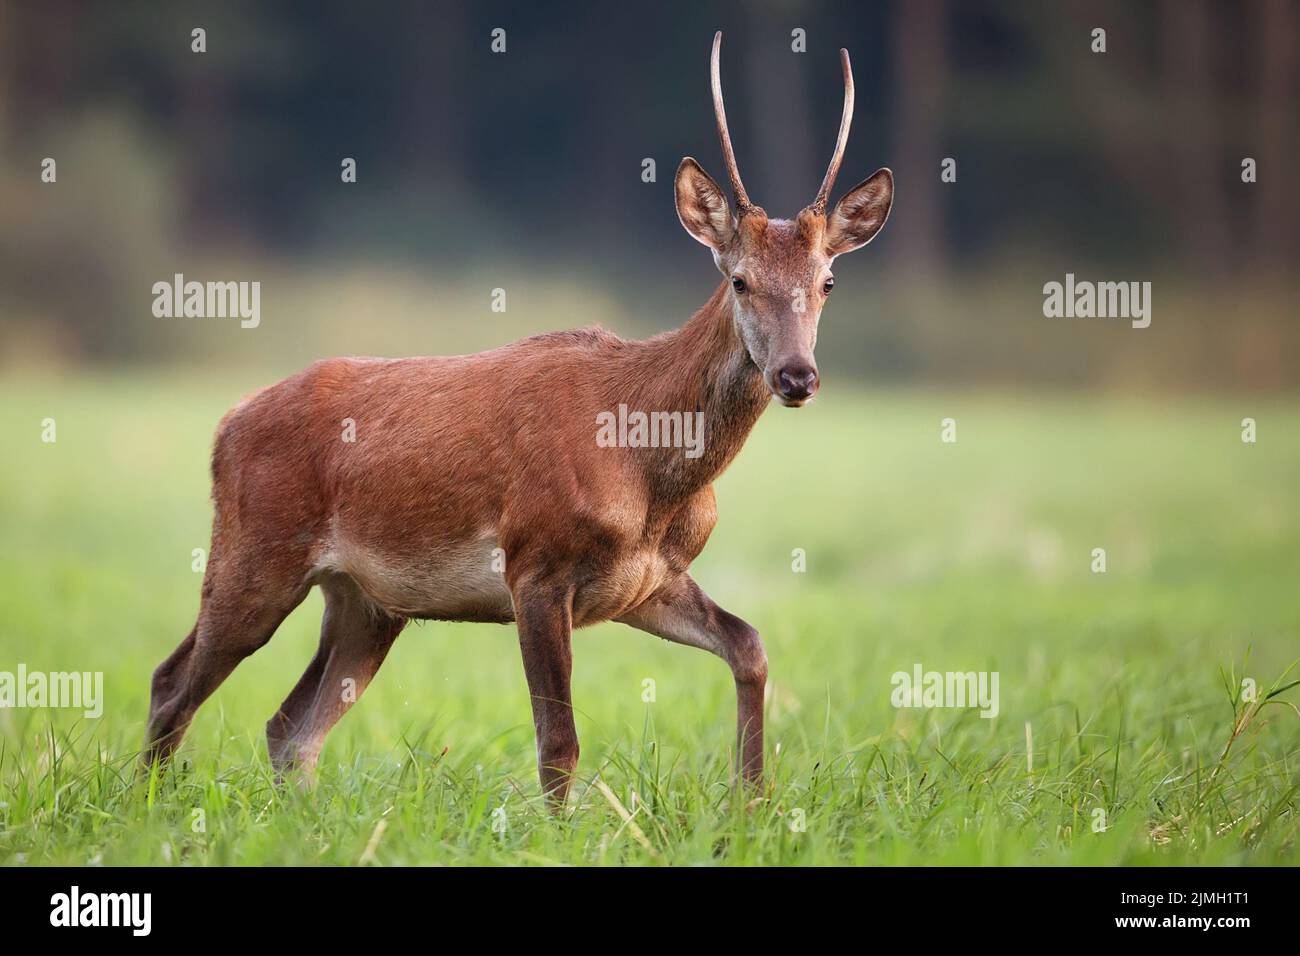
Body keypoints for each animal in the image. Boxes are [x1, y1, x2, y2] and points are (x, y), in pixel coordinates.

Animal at [144, 32, 893, 806]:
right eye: (739, 280)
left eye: (827, 281)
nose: (796, 376)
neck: (648, 470)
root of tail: (226, 423)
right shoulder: (535, 561)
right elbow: (558, 744)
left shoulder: (647, 580)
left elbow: (750, 645)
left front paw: (752, 803)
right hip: (254, 550)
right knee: (173, 682)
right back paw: (149, 805)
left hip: (365, 599)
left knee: (289, 724)